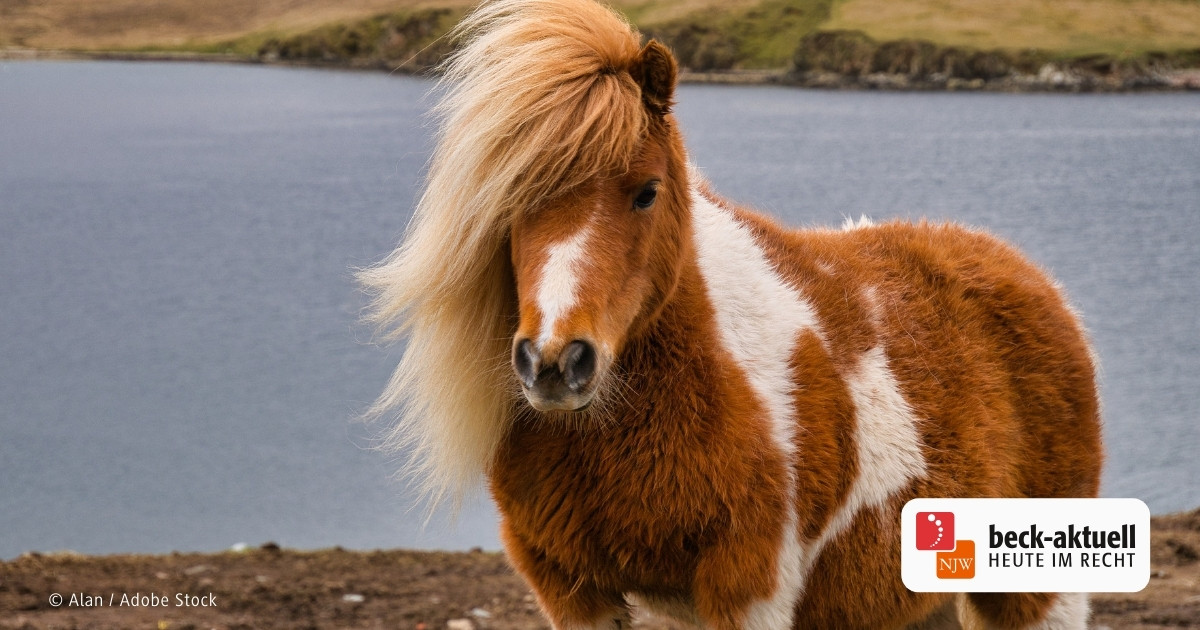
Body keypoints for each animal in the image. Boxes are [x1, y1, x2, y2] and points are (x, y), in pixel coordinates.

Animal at [359, 0, 1104, 627]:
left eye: (646, 192)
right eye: (512, 196)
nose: (554, 363)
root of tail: (1031, 280)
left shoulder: (747, 591)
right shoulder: (573, 592)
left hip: (1035, 596)